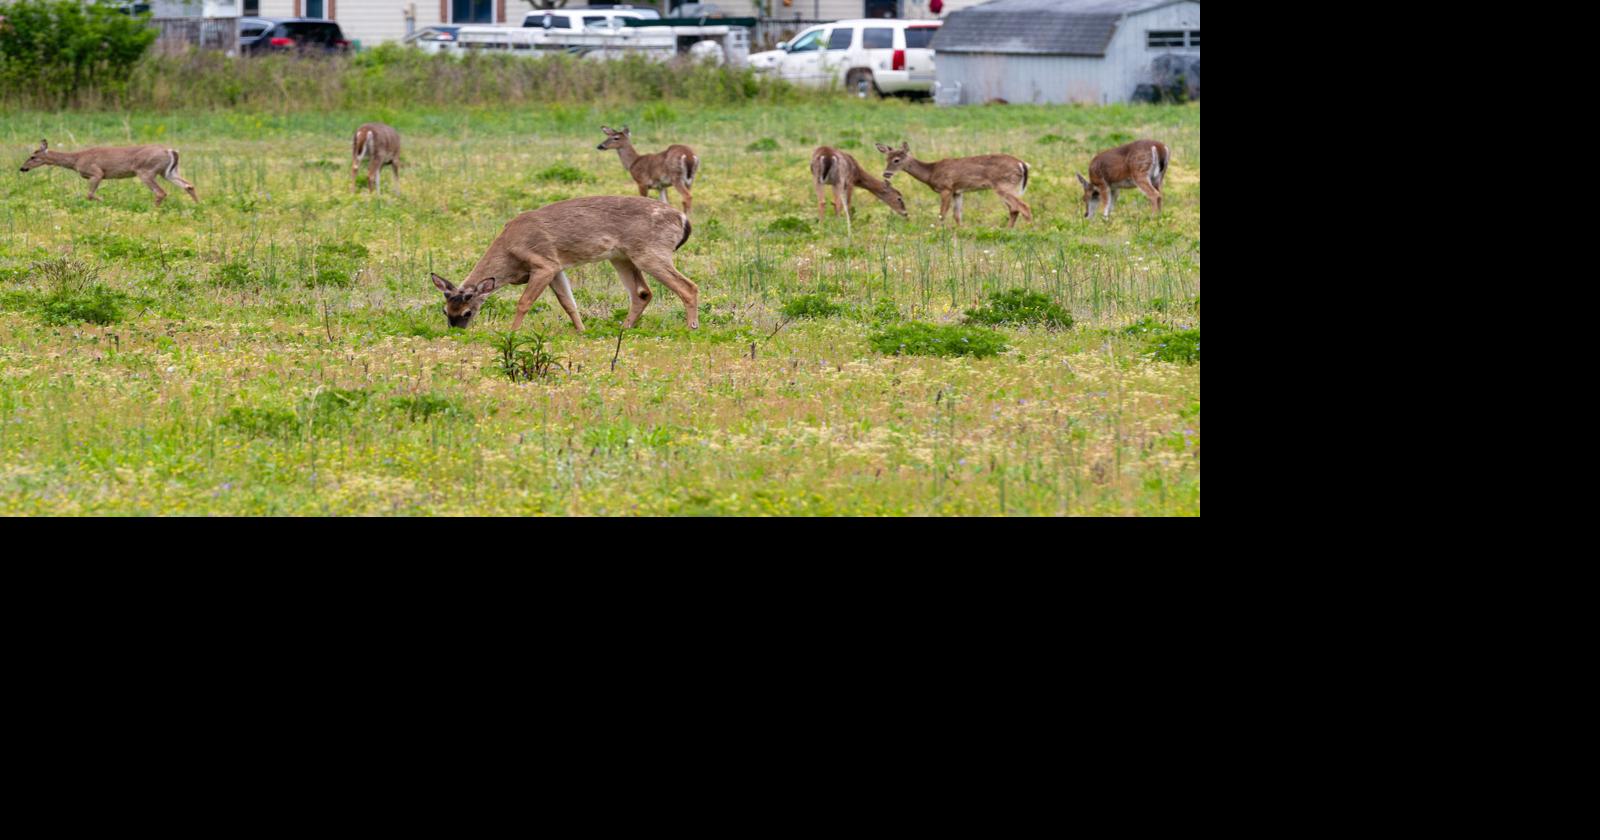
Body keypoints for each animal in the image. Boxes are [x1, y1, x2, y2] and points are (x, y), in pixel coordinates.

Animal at [18, 139, 198, 206]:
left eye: (33, 156)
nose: (22, 168)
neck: (76, 160)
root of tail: (170, 150)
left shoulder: (97, 172)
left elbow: (89, 194)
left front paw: (104, 200)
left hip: (146, 171)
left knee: (161, 192)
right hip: (167, 172)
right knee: (188, 185)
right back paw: (198, 205)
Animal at [430, 195, 699, 333]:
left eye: (468, 311)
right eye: (445, 310)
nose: (456, 331)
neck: (509, 251)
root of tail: (682, 219)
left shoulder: (544, 264)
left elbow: (524, 302)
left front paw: (511, 332)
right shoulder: (557, 267)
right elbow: (568, 303)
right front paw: (582, 331)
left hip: (650, 252)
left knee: (688, 286)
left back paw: (692, 327)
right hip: (621, 256)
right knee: (642, 293)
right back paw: (623, 328)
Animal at [875, 141, 1031, 228]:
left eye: (896, 160)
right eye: (886, 159)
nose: (886, 174)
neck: (931, 172)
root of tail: (1022, 164)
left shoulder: (946, 188)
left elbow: (942, 213)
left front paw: (939, 231)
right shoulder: (958, 191)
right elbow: (957, 215)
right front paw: (961, 230)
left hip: (1004, 185)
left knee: (1023, 207)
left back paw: (1029, 230)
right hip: (1011, 187)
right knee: (1014, 209)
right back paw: (1008, 230)